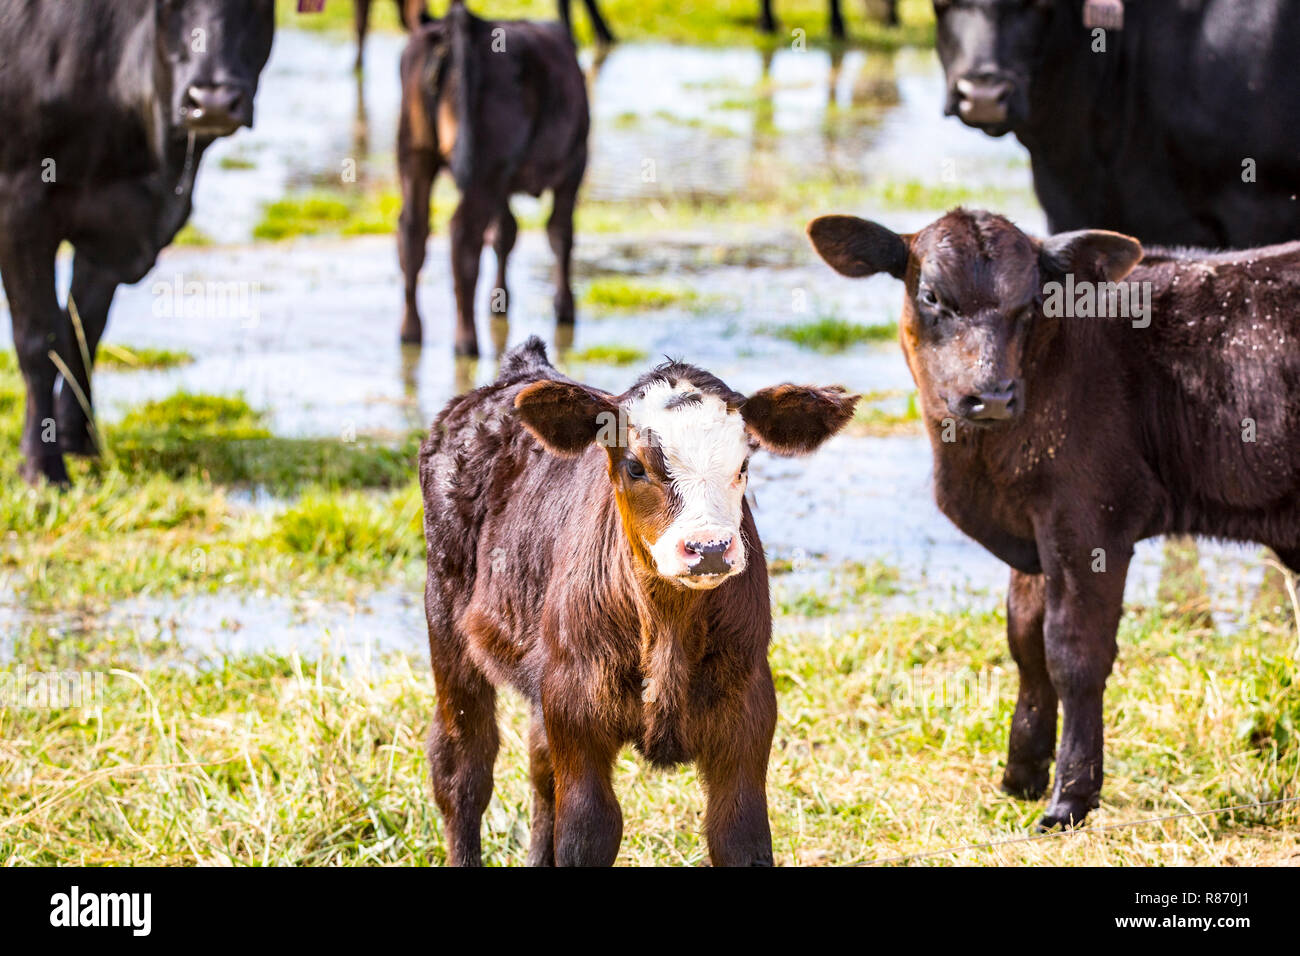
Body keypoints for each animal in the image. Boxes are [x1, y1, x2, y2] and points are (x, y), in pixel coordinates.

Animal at [0, 0, 275, 485]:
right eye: (168, 6)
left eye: (258, 5)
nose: (213, 102)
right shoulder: (19, 203)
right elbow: (39, 338)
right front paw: (42, 467)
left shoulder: (114, 230)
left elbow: (83, 331)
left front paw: (80, 442)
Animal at [396, 1, 588, 356]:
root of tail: (462, 21)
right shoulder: (574, 165)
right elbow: (560, 232)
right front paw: (565, 307)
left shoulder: (504, 181)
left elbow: (504, 233)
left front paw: (500, 300)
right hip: (484, 170)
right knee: (463, 236)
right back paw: (466, 340)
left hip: (415, 153)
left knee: (413, 231)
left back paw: (410, 330)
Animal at [418, 336, 857, 865]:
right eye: (635, 465)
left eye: (743, 465)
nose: (709, 548)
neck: (667, 624)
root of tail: (521, 371)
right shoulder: (577, 711)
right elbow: (588, 829)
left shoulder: (748, 714)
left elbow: (739, 834)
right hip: (446, 619)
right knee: (463, 769)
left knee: (540, 771)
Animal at [807, 208, 1300, 828]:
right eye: (933, 296)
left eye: (1029, 303)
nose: (991, 396)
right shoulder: (1032, 529)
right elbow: (1025, 644)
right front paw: (1020, 774)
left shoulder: (1090, 517)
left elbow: (1072, 653)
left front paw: (1070, 796)